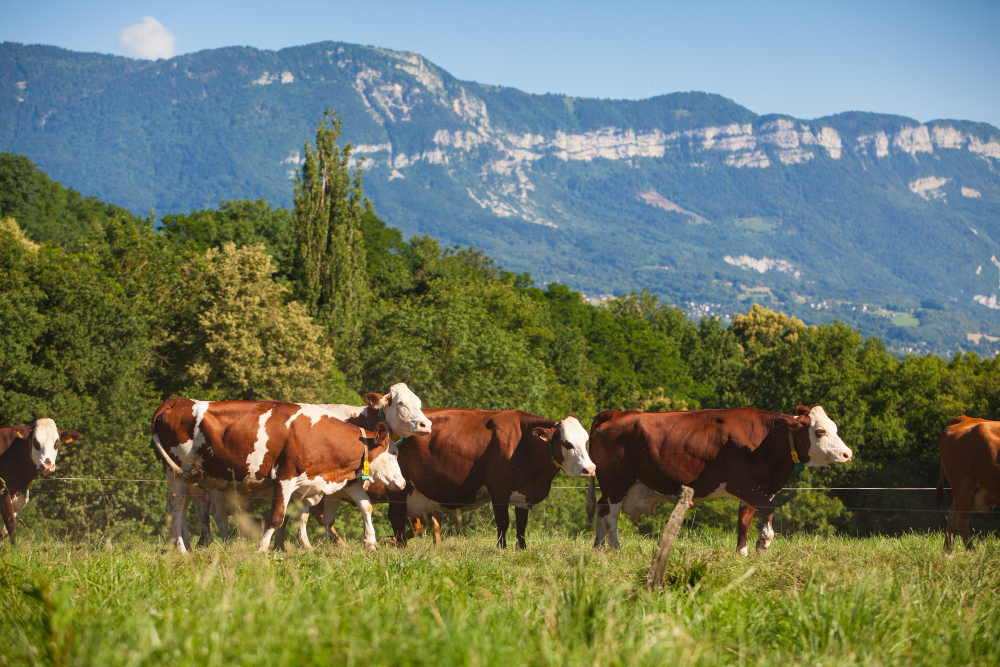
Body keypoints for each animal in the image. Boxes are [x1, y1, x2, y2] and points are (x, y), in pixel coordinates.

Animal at [151, 399, 405, 552]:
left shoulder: (332, 479)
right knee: (177, 511)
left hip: (193, 478)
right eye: (393, 452)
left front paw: (369, 541)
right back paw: (182, 549)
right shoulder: (285, 477)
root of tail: (174, 402)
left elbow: (364, 505)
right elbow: (277, 517)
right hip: (178, 474)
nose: (402, 483)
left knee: (186, 510)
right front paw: (262, 547)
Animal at [196, 384, 432, 549]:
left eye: (419, 403)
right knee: (215, 512)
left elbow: (359, 507)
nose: (426, 424)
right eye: (400, 403)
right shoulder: (336, 483)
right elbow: (319, 516)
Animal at [378, 408, 595, 549]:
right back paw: (400, 546)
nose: (590, 468)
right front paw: (502, 548)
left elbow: (522, 524)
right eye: (566, 443)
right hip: (398, 487)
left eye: (586, 440)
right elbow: (503, 521)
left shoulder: (524, 494)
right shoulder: (499, 489)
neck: (524, 443)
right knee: (396, 516)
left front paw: (522, 548)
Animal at [588, 405, 852, 555]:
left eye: (835, 428)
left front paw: (742, 552)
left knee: (601, 511)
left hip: (614, 487)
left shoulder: (758, 487)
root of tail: (615, 413)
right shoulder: (742, 483)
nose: (847, 453)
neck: (767, 439)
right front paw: (763, 542)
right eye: (820, 431)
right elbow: (768, 509)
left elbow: (744, 519)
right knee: (610, 516)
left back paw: (598, 548)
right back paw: (616, 549)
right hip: (616, 483)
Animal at [935, 415, 1000, 551]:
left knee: (951, 517)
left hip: (960, 492)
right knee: (961, 520)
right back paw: (972, 551)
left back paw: (948, 550)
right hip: (964, 485)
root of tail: (965, 418)